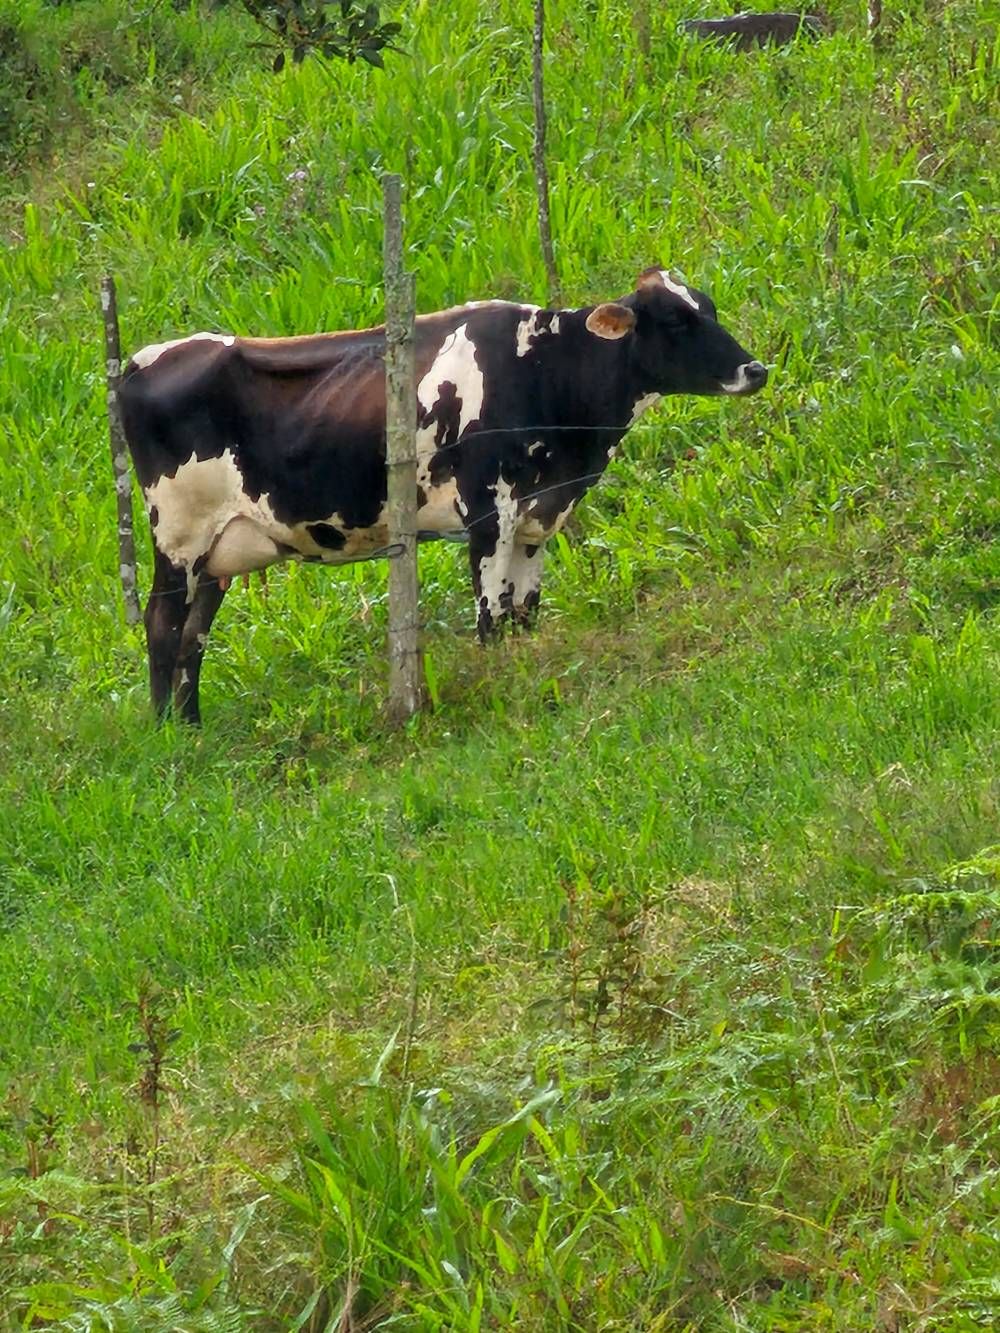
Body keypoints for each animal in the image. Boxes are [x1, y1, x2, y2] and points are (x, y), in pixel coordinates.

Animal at [118, 266, 768, 723]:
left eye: (708, 308)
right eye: (677, 321)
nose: (755, 370)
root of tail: (143, 359)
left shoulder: (535, 516)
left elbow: (524, 611)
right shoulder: (488, 512)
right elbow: (491, 613)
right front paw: (496, 683)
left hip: (217, 554)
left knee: (194, 636)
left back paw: (193, 725)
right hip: (178, 535)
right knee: (162, 623)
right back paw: (167, 733)